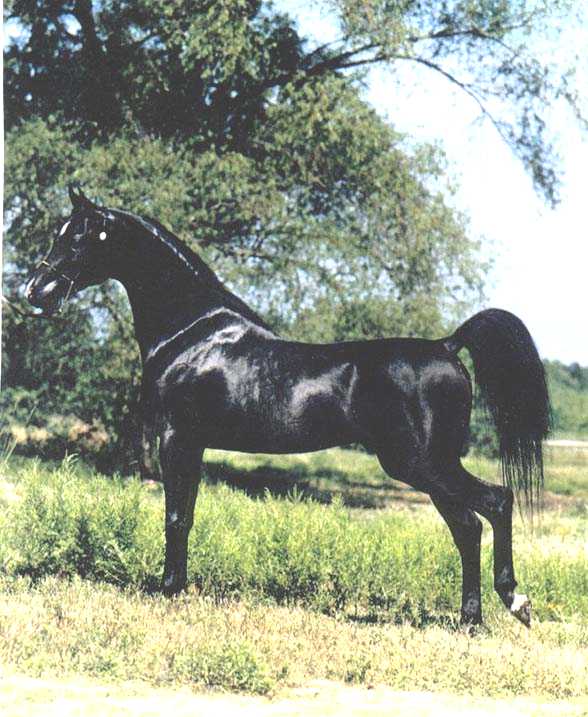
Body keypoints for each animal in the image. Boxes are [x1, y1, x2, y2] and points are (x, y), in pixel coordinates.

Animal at [26, 185, 550, 627]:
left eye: (79, 235)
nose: (35, 291)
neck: (193, 334)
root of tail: (447, 345)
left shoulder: (178, 438)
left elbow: (176, 516)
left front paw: (168, 589)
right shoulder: (190, 443)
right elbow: (185, 514)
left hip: (420, 463)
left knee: (491, 505)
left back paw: (511, 603)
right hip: (429, 466)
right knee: (471, 524)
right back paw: (472, 618)